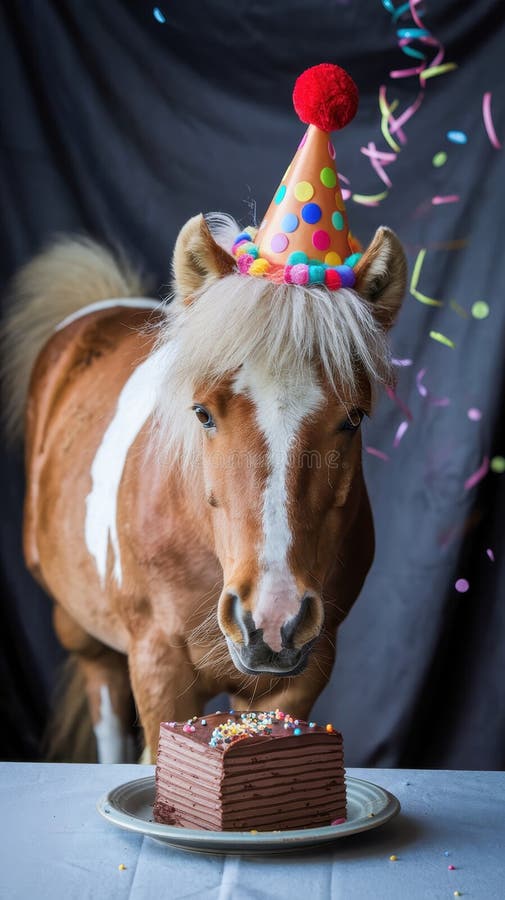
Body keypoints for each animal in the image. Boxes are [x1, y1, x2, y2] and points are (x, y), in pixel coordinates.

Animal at [2, 212, 406, 762]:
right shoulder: (158, 667)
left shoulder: (300, 677)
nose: (273, 617)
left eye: (354, 418)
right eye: (202, 413)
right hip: (85, 637)